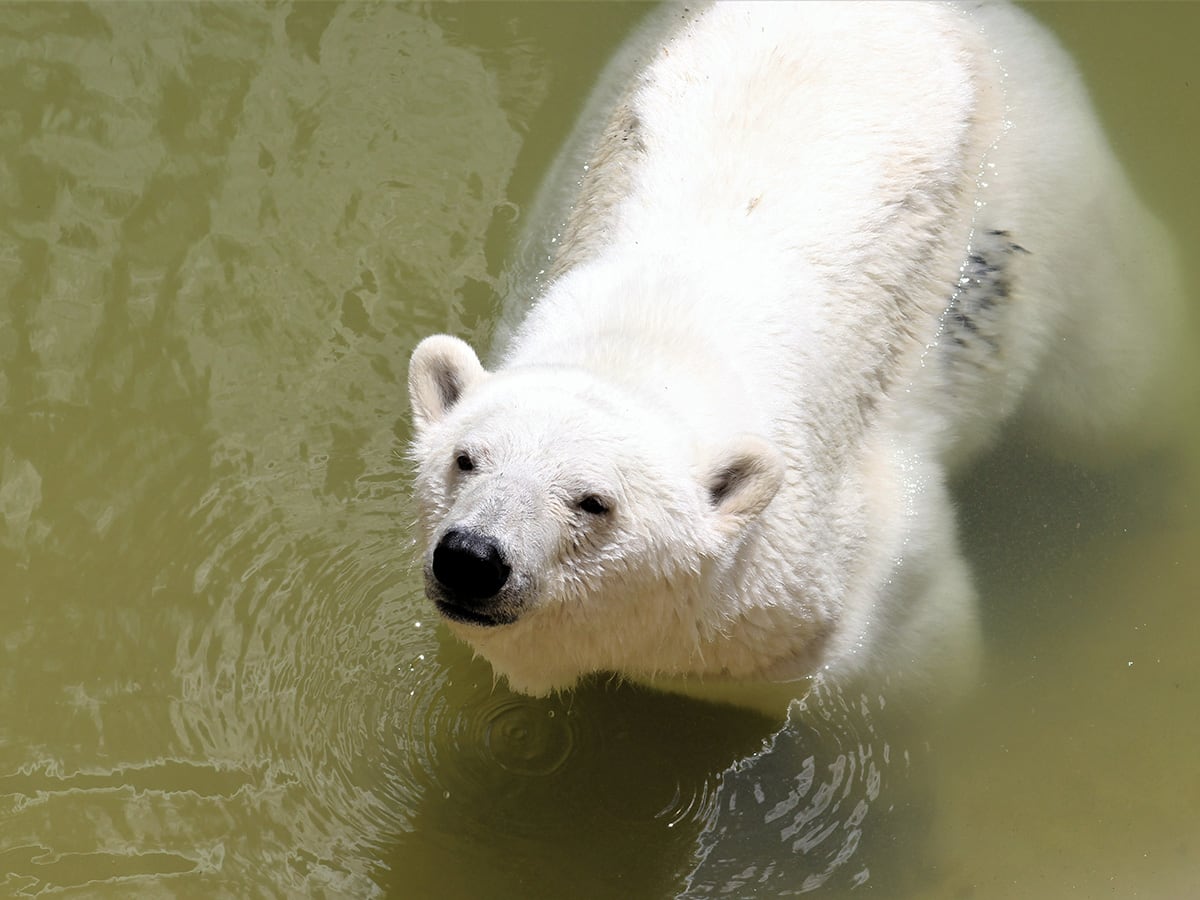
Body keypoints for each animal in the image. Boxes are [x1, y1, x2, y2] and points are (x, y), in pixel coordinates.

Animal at [407, 1, 1186, 712]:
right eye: (466, 459)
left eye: (594, 501)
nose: (472, 559)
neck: (651, 338)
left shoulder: (859, 582)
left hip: (1055, 196)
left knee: (1114, 399)